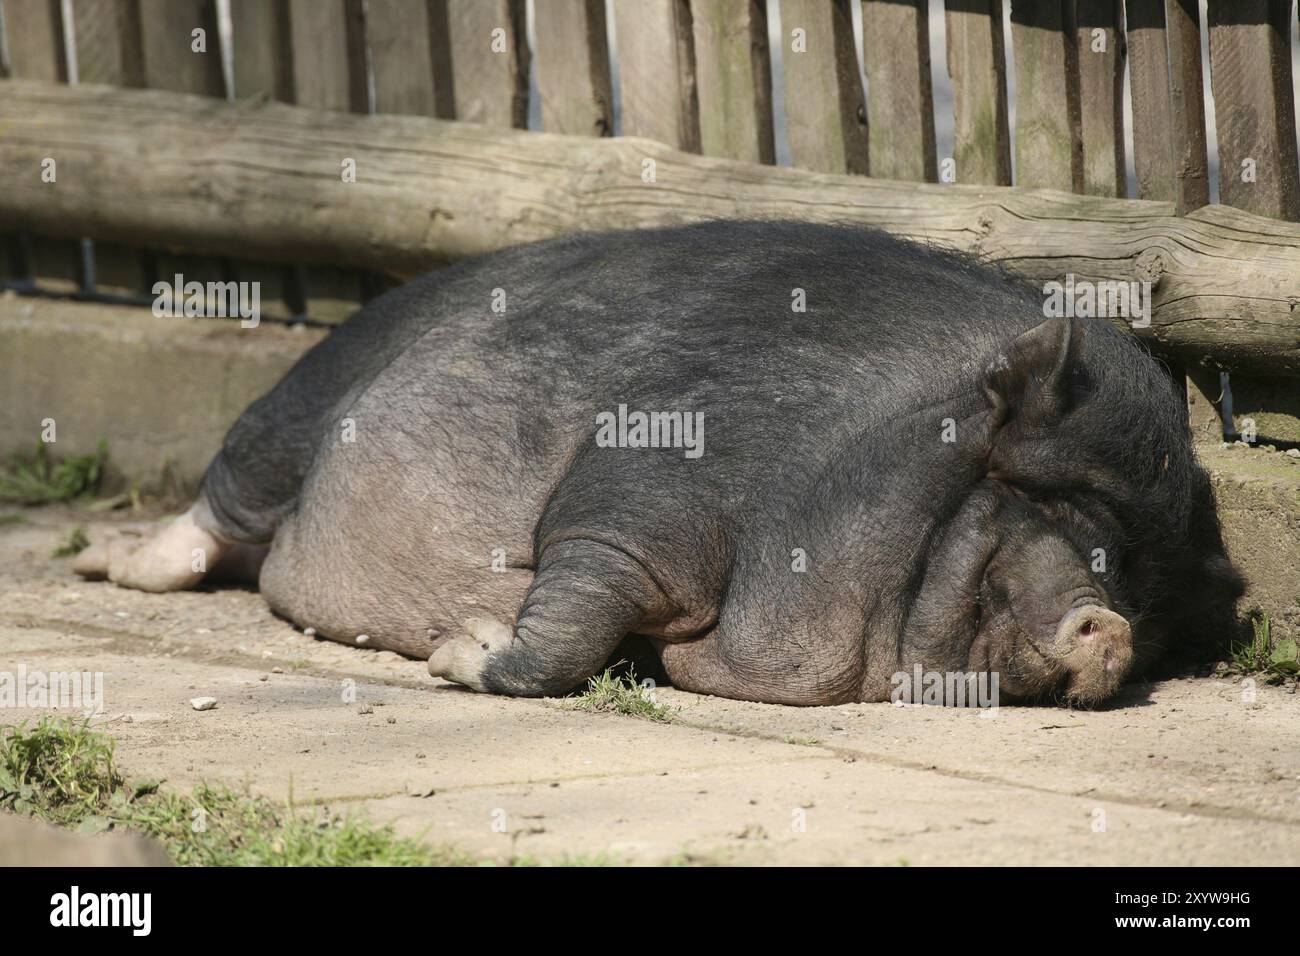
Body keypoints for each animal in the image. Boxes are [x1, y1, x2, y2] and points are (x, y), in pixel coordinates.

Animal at [74, 221, 1243, 706]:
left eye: (1122, 560)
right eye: (1029, 512)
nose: (1107, 623)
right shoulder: (641, 492)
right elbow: (579, 604)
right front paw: (461, 643)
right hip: (303, 399)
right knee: (226, 508)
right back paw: (93, 564)